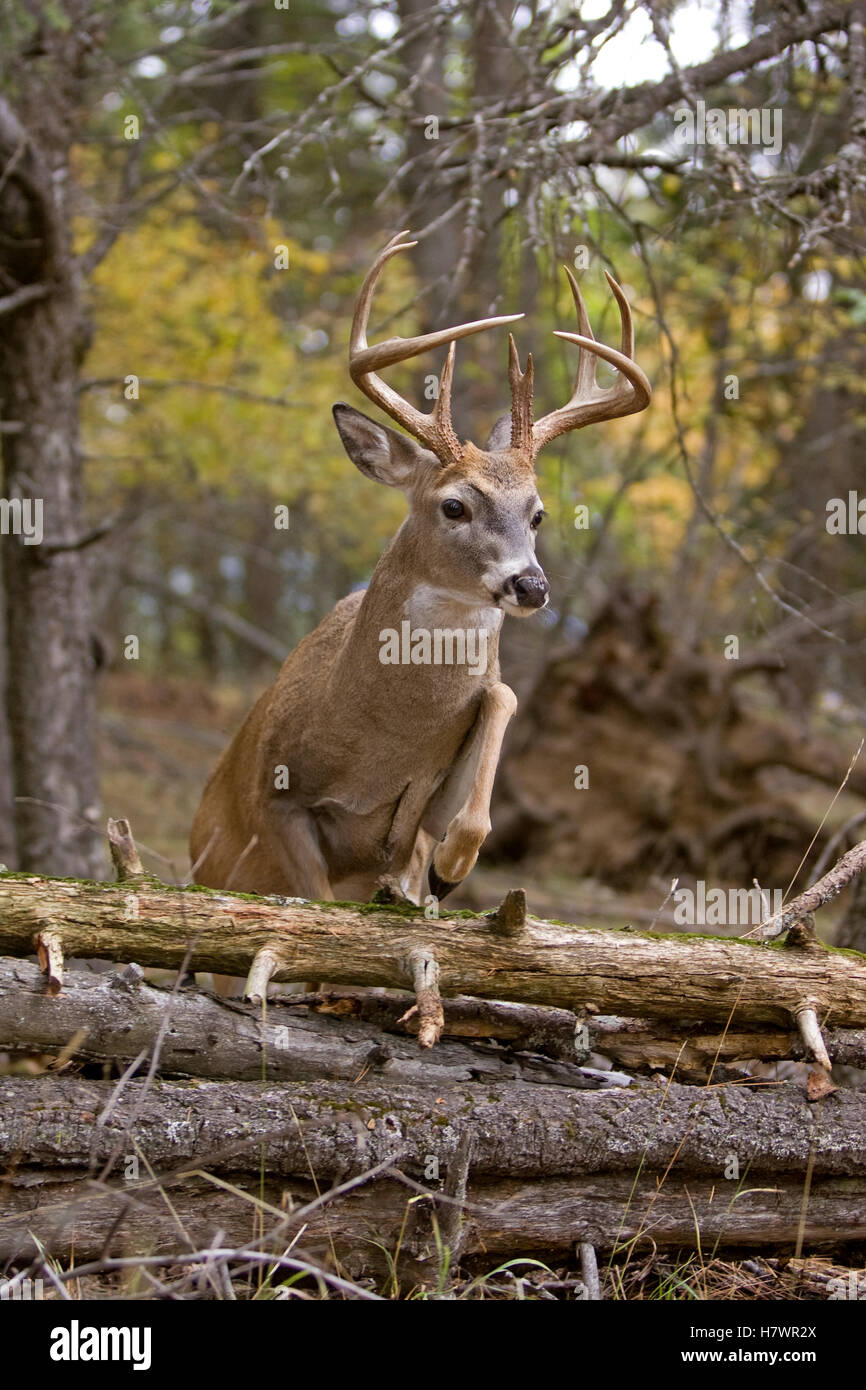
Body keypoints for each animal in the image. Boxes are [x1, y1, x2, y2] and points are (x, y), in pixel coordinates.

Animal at [190, 231, 651, 907]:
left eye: (538, 513)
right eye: (454, 505)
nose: (531, 585)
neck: (376, 740)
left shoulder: (420, 818)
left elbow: (501, 698)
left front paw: (450, 866)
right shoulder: (277, 802)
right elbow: (315, 914)